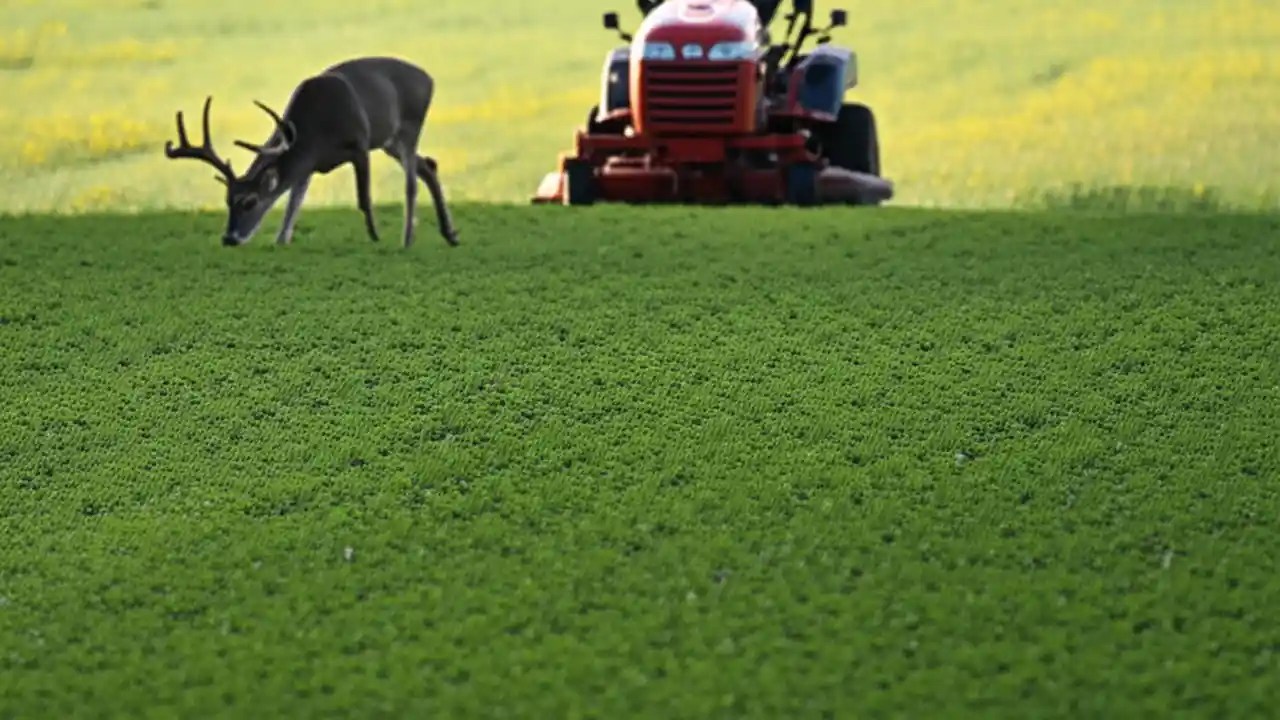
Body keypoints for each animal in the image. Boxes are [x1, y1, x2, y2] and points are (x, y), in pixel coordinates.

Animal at [164, 56, 459, 249]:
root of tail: (429, 79)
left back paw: (407, 240)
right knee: (428, 166)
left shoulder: (359, 143)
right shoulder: (307, 164)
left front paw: (375, 237)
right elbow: (293, 203)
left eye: (249, 202)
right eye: (227, 200)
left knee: (411, 182)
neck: (317, 132)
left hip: (410, 127)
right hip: (390, 142)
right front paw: (281, 240)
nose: (229, 238)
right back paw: (450, 234)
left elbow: (363, 198)